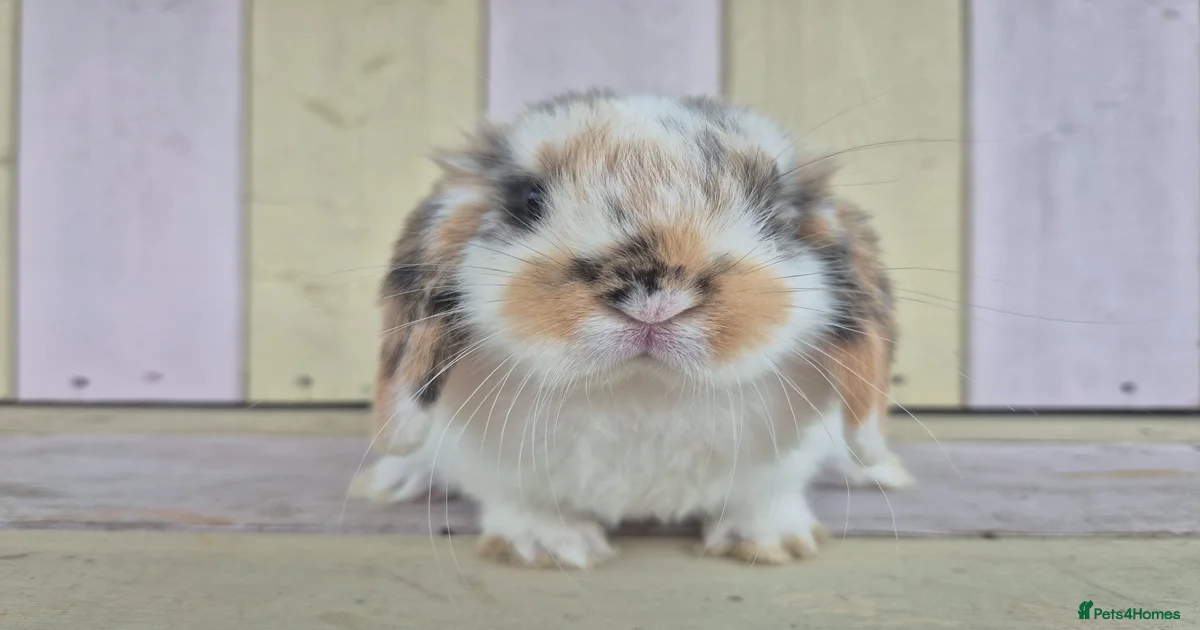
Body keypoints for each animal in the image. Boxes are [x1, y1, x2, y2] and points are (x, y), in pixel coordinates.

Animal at [349, 90, 914, 568]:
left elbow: (766, 497)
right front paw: (546, 547)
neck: (640, 392)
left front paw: (771, 542)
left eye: (774, 211)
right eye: (529, 199)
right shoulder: (494, 466)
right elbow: (520, 499)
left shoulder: (786, 463)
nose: (655, 301)